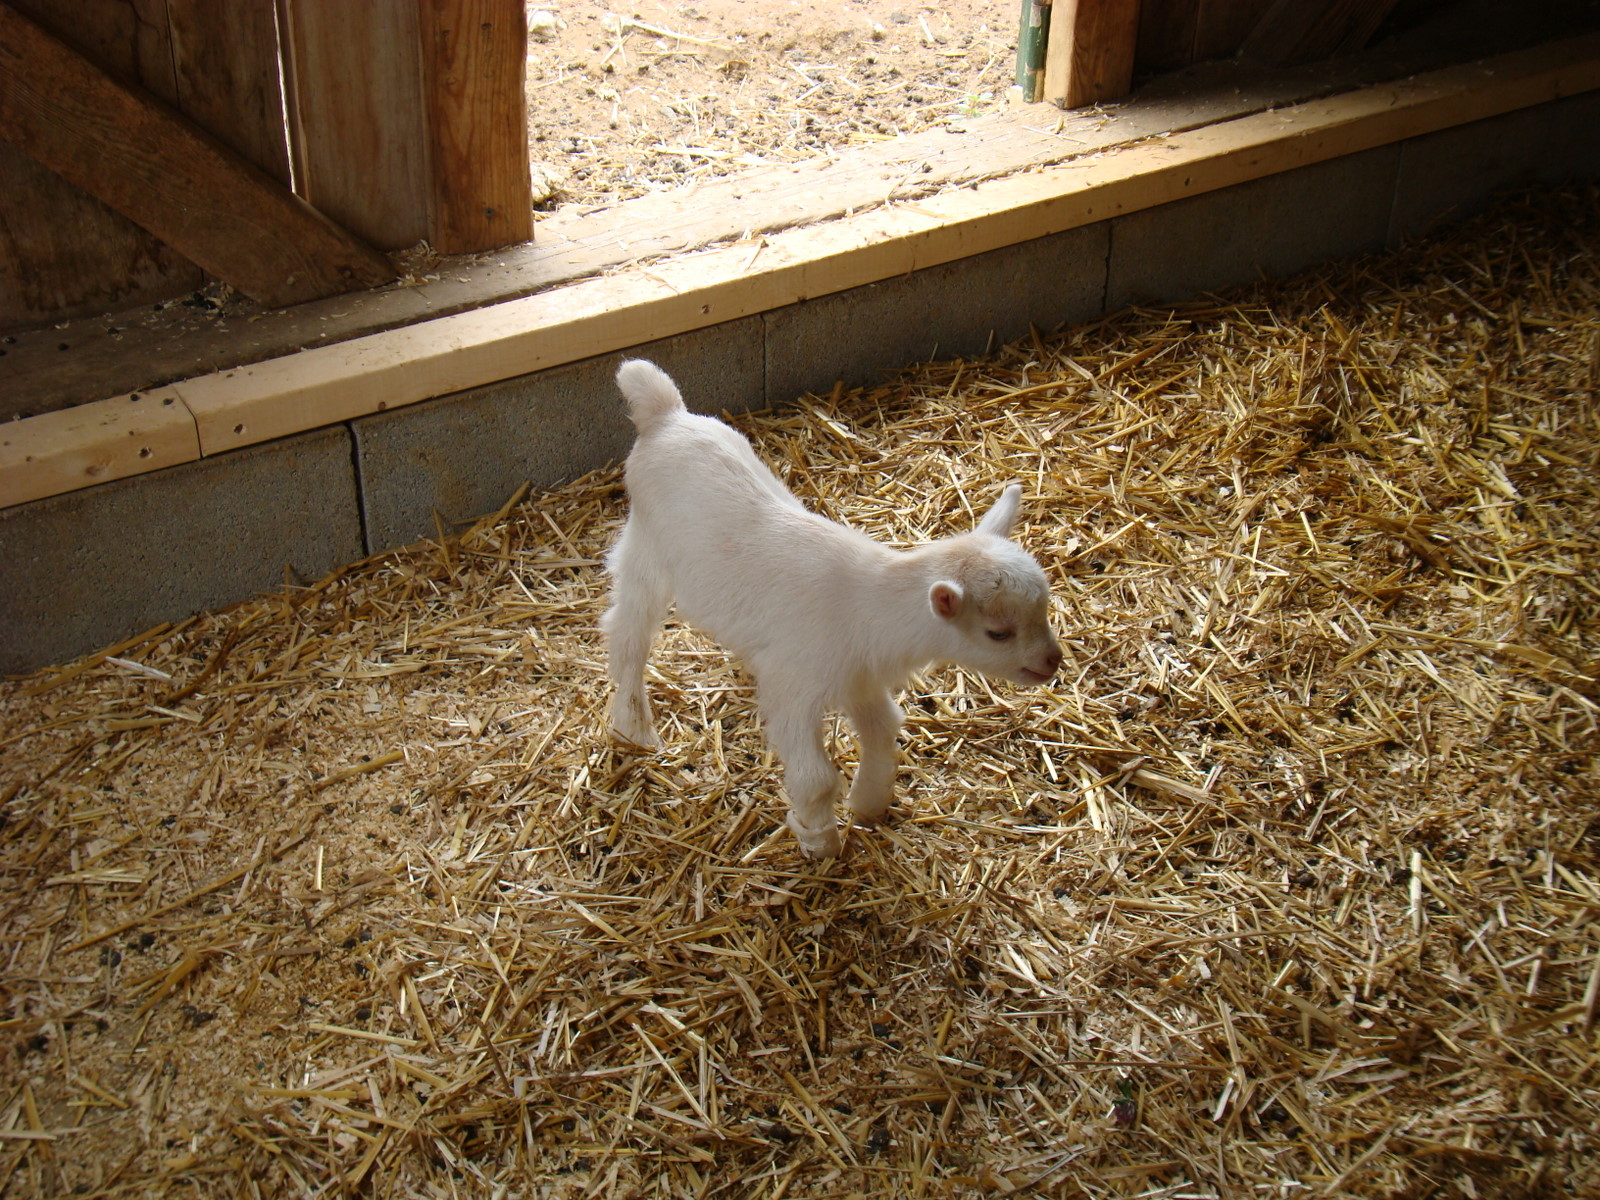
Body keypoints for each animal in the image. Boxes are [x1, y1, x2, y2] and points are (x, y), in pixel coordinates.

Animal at [601, 360, 1062, 858]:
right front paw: (819, 839)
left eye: (1044, 607)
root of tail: (665, 413)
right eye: (998, 632)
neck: (867, 602)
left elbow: (883, 729)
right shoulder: (795, 686)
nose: (1052, 661)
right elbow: (815, 777)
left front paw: (870, 803)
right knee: (627, 635)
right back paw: (633, 729)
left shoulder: (860, 678)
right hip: (646, 549)